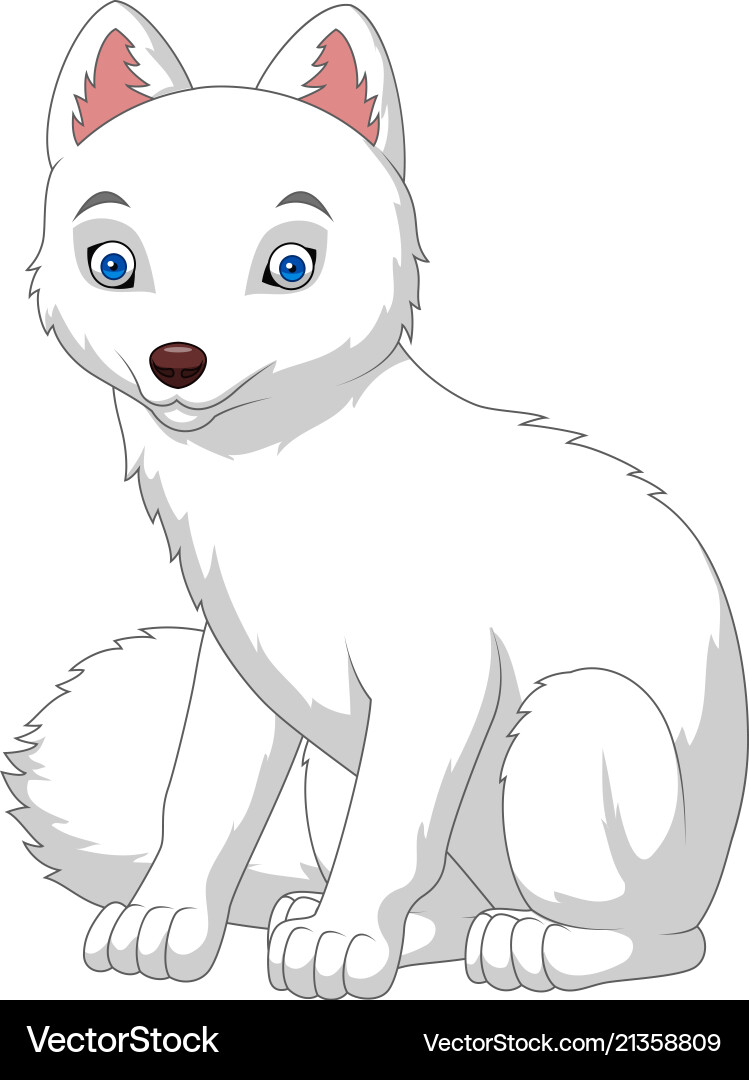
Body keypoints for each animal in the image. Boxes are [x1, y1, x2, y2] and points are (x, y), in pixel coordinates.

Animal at [4, 1, 747, 1001]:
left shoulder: (438, 678)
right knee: (441, 909)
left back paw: (527, 947)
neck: (277, 486)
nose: (177, 362)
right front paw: (168, 923)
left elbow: (389, 836)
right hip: (336, 767)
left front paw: (343, 939)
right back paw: (344, 921)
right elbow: (199, 803)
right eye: (113, 263)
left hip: (576, 718)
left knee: (661, 943)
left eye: (290, 267)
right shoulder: (241, 675)